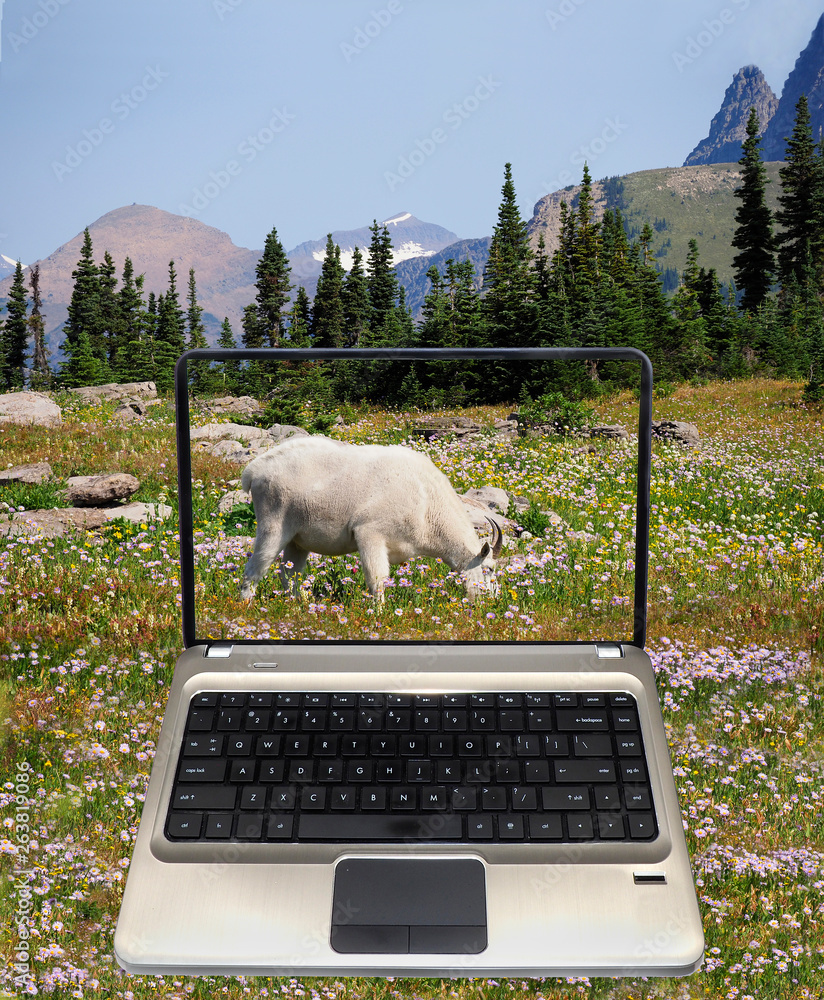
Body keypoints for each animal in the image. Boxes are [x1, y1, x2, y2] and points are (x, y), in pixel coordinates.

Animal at [239, 436, 502, 603]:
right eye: (488, 569)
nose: (492, 600)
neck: (427, 503)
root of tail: (254, 471)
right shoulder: (370, 534)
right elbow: (378, 580)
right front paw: (379, 614)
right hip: (273, 523)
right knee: (255, 568)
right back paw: (246, 606)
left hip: (297, 539)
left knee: (290, 573)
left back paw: (302, 606)